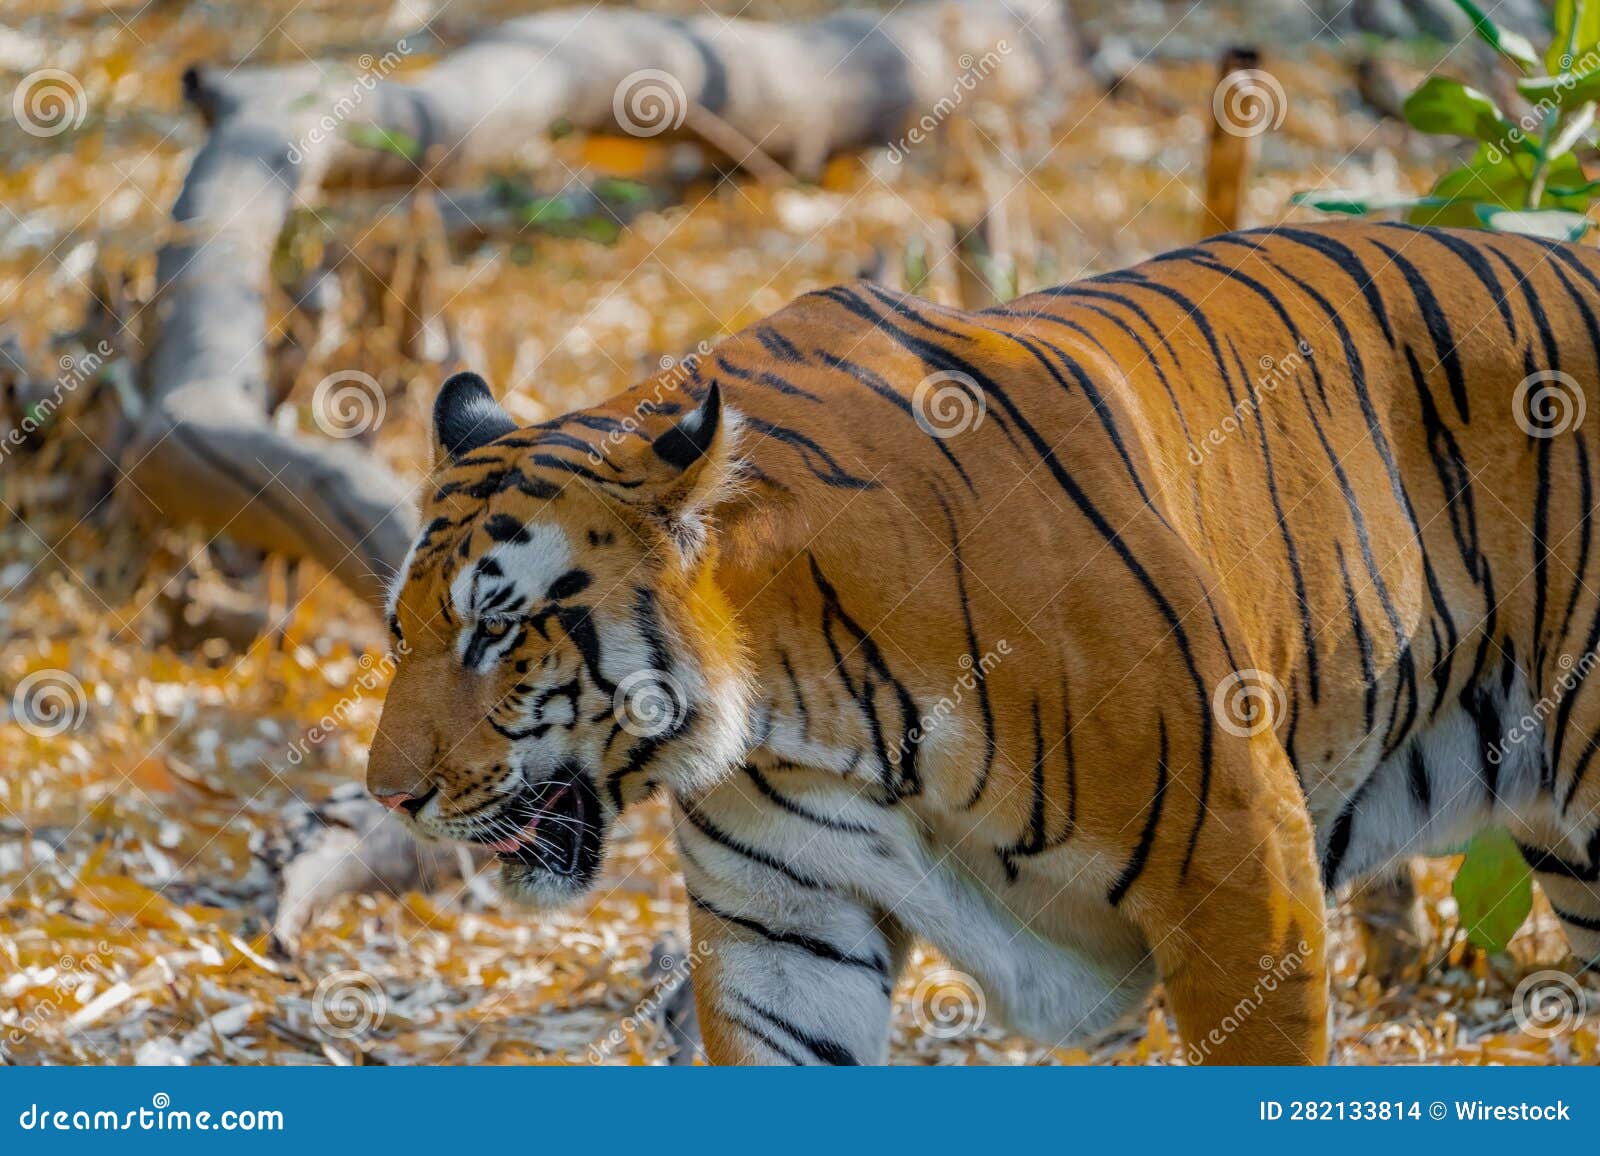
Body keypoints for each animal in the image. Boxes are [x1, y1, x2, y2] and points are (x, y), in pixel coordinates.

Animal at [368, 221, 1600, 1065]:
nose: (390, 797)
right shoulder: (786, 927)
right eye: (403, 632)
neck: (797, 702)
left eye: (497, 629)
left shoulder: (1241, 861)